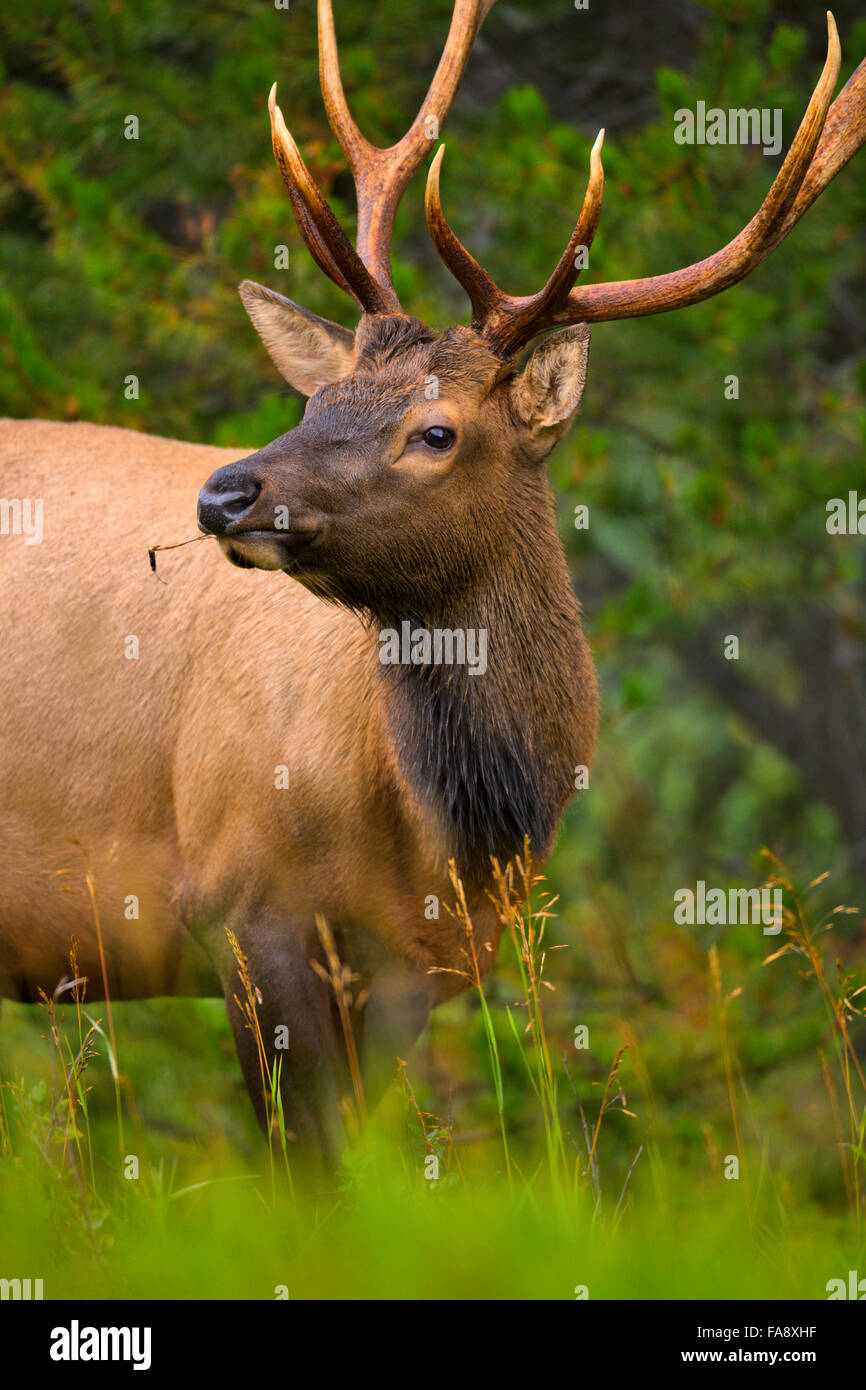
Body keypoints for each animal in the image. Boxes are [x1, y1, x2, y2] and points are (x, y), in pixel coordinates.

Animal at [0, 1, 864, 1168]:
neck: (443, 827)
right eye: (320, 399)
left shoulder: (422, 969)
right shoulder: (241, 904)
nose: (224, 494)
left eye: (436, 430)